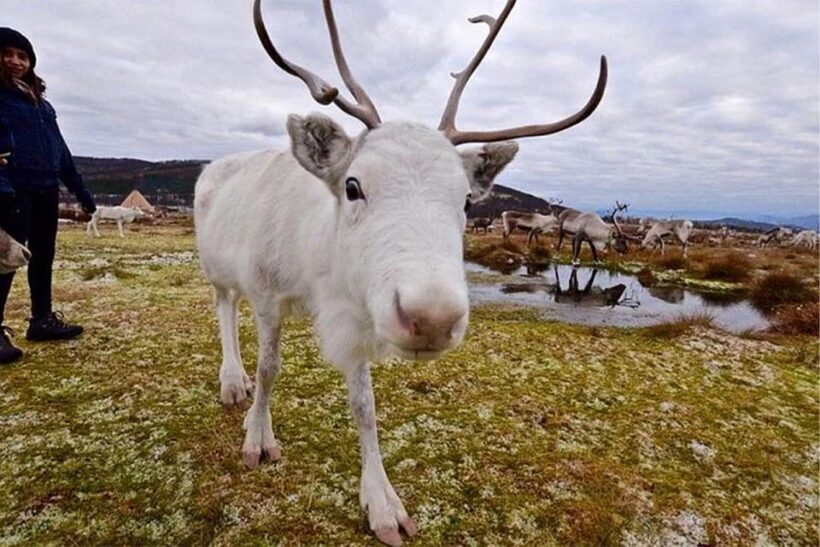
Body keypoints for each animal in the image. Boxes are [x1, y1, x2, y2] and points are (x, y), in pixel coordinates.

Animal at [194, 1, 607, 544]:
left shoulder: (357, 312)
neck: (315, 265)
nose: (432, 318)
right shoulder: (267, 292)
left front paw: (382, 503)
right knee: (224, 309)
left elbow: (364, 406)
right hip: (217, 269)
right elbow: (269, 369)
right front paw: (258, 439)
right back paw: (231, 380)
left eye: (466, 200)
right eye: (352, 186)